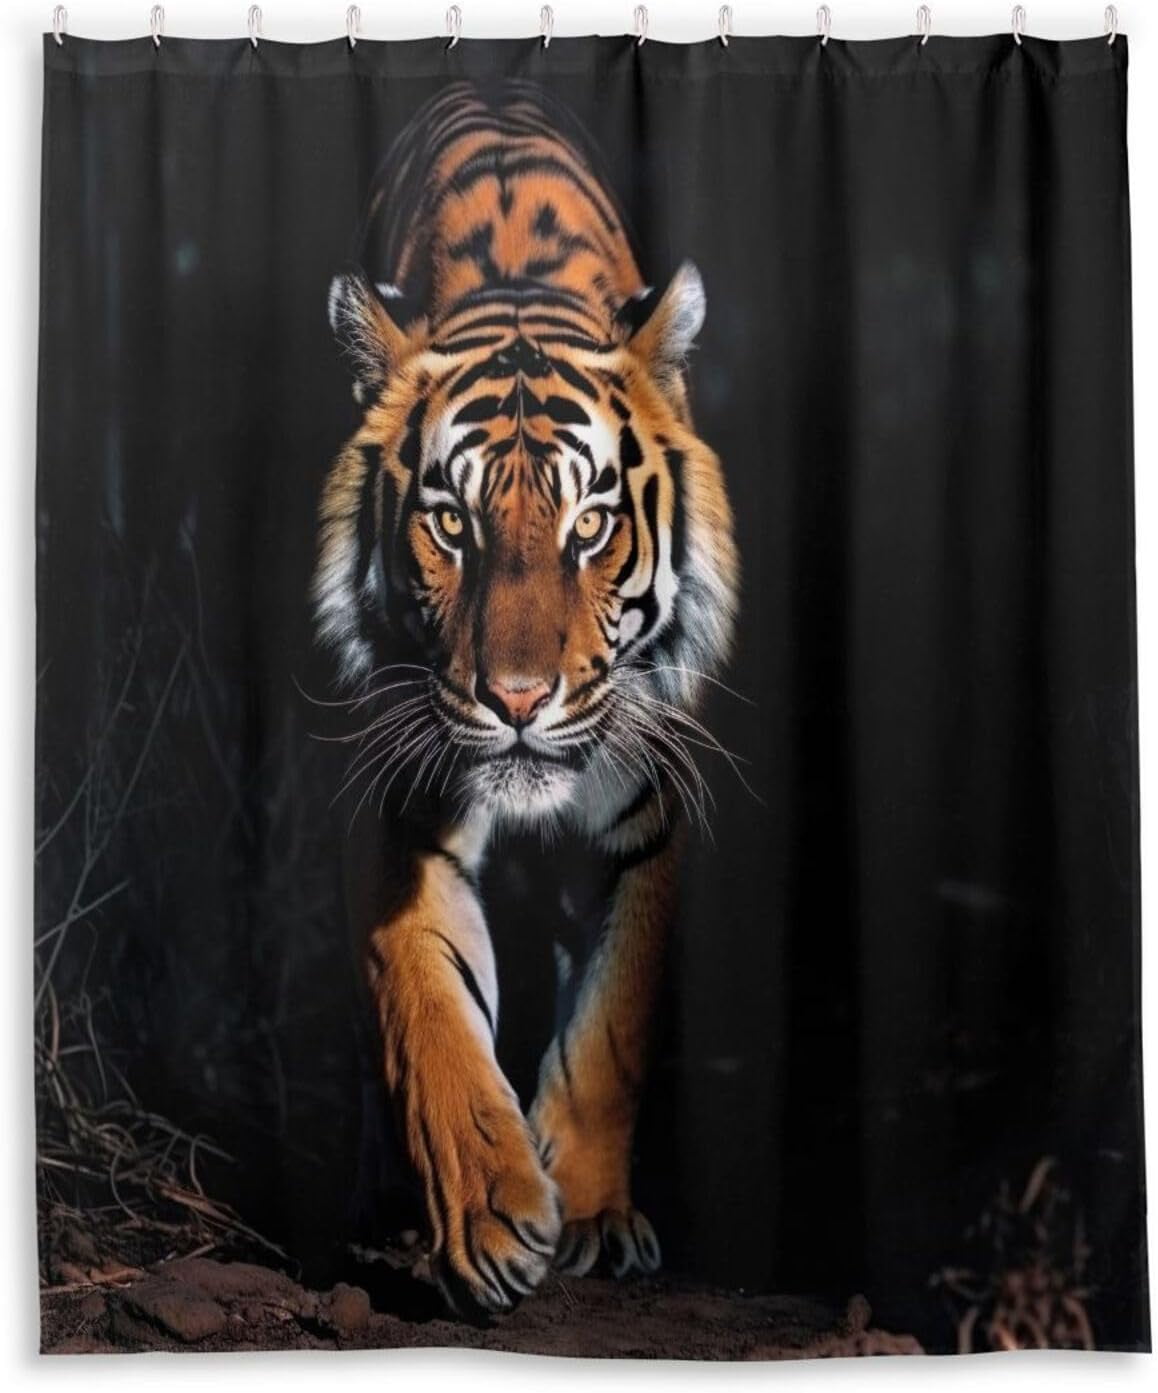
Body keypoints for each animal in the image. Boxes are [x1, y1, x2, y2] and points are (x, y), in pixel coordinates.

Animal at [313, 81, 738, 1316]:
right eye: (452, 523)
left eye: (588, 523)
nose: (512, 698)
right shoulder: (397, 806)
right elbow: (429, 1014)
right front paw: (490, 1214)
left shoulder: (648, 819)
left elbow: (610, 1025)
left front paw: (589, 1208)